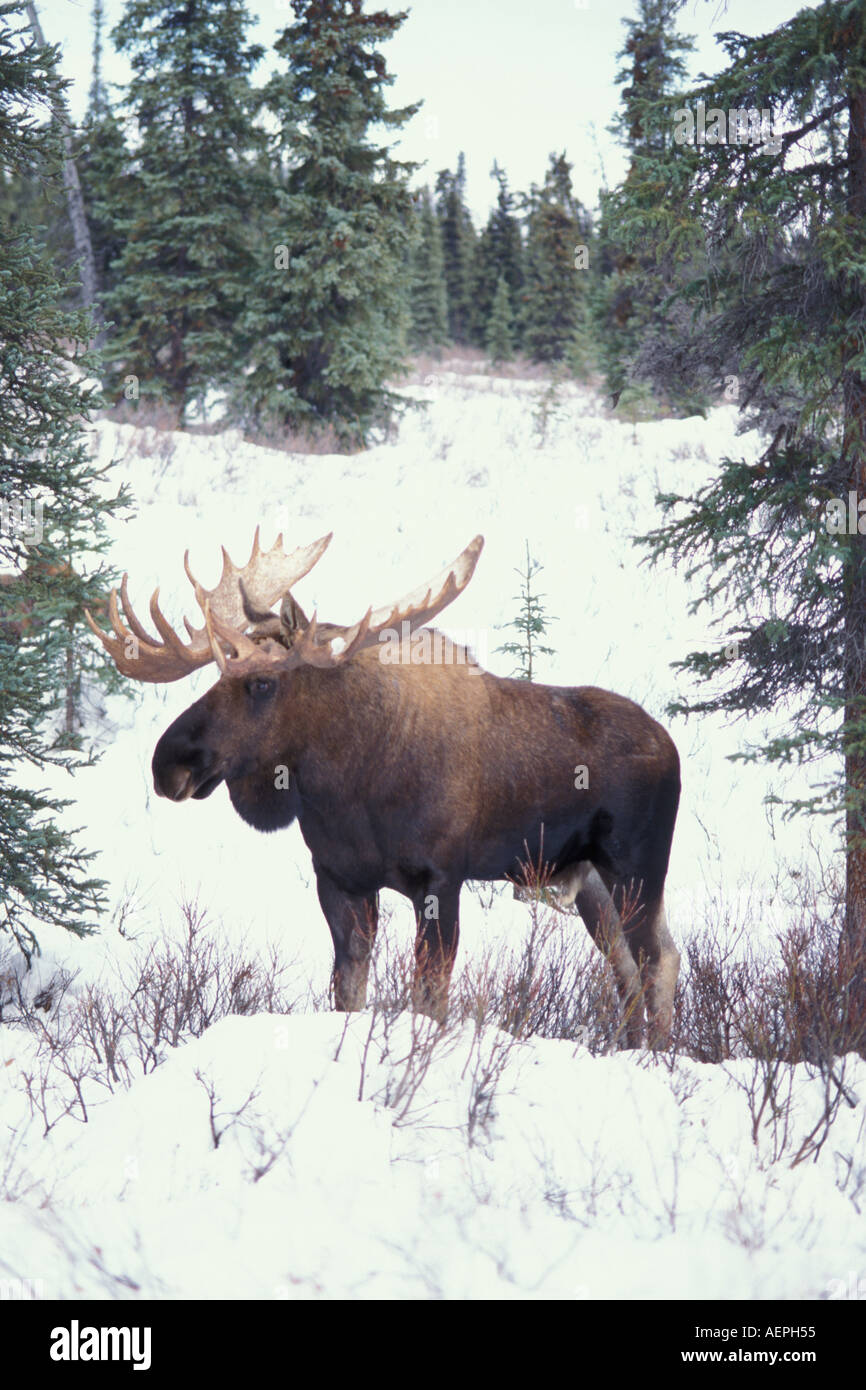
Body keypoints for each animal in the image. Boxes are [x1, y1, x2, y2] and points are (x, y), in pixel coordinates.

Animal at [86, 530, 681, 1047]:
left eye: (262, 682)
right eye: (215, 675)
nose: (168, 763)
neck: (348, 788)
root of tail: (671, 747)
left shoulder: (441, 881)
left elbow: (428, 1001)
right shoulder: (339, 879)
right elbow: (348, 993)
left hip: (636, 868)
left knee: (657, 959)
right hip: (593, 882)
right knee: (633, 963)